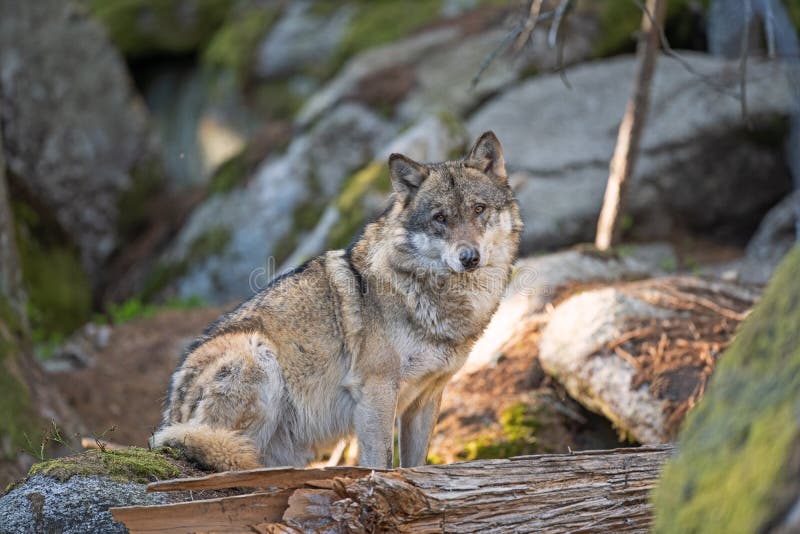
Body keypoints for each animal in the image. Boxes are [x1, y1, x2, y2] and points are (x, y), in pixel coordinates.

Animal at [151, 131, 522, 470]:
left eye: (479, 209)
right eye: (440, 218)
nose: (469, 258)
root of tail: (170, 413)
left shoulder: (427, 397)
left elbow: (415, 464)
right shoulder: (375, 391)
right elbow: (381, 461)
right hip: (258, 354)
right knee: (225, 451)